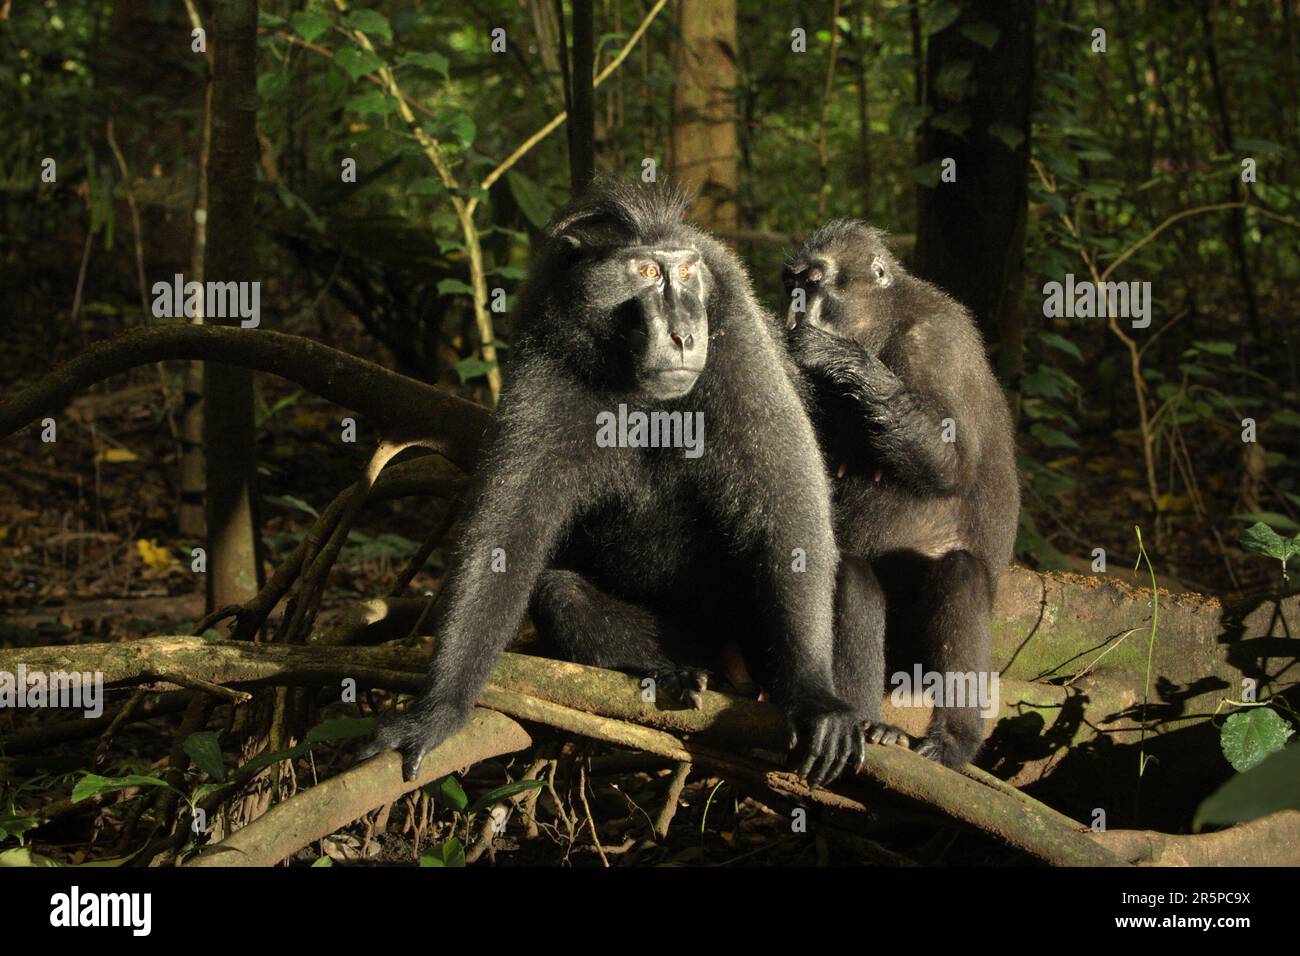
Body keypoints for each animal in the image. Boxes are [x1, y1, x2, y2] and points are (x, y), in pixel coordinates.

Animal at [359, 183, 879, 787]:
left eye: (688, 271)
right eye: (647, 271)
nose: (685, 334)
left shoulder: (739, 347)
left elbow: (788, 504)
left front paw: (816, 699)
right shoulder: (546, 364)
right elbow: (507, 537)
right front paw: (438, 709)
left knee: (846, 574)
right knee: (559, 593)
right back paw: (677, 671)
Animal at [781, 220, 1019, 768]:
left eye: (815, 283)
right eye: (793, 286)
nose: (794, 312)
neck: (884, 325)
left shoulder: (936, 344)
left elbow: (952, 467)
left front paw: (846, 363)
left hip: (914, 665)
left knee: (961, 574)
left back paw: (952, 741)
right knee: (849, 573)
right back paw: (864, 721)